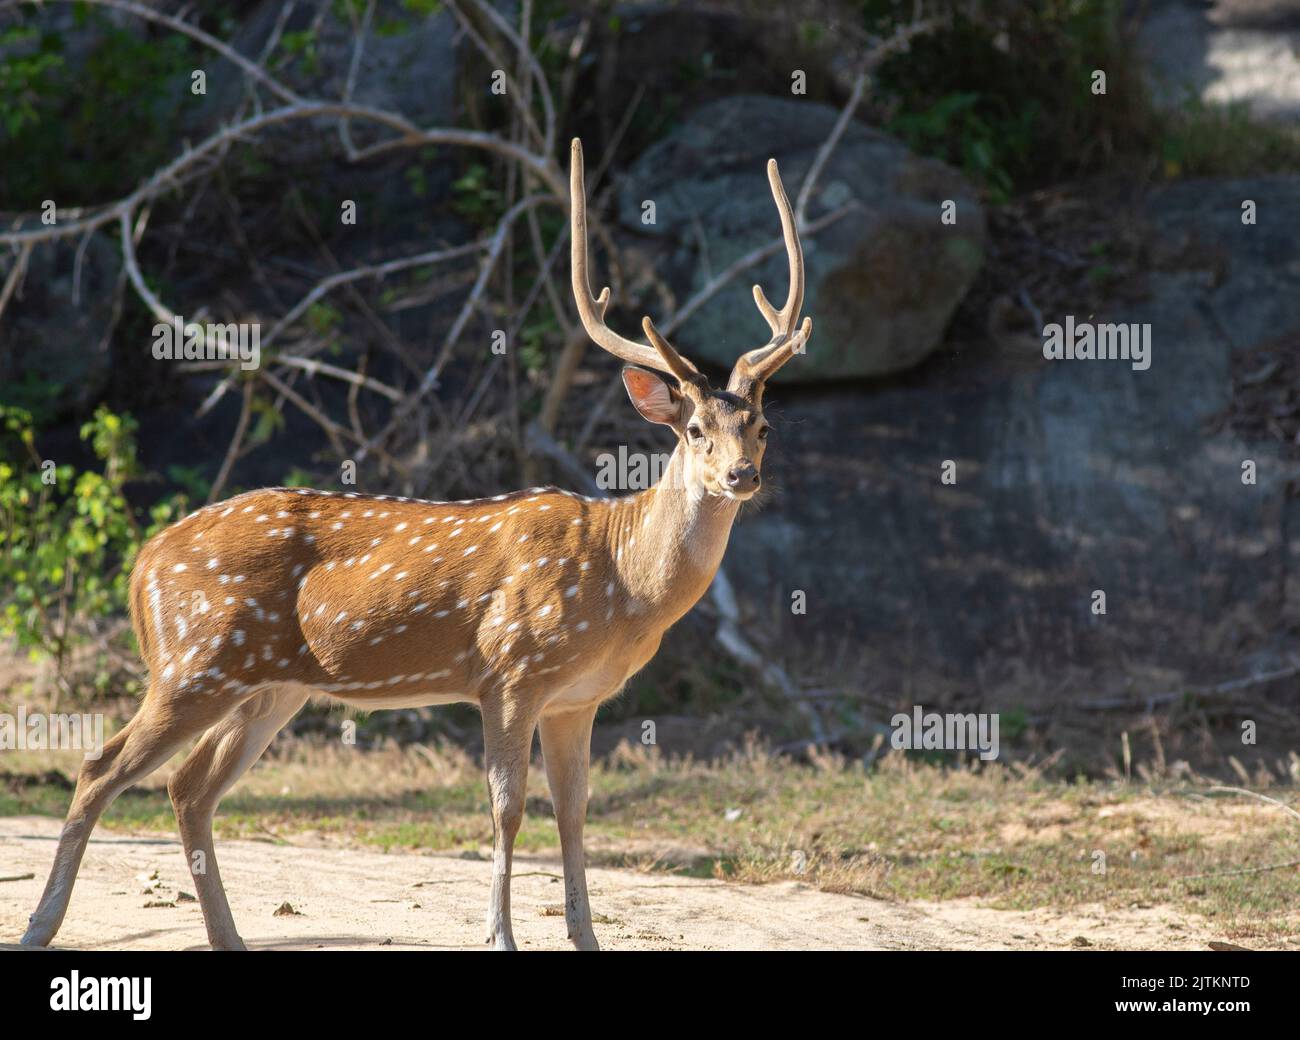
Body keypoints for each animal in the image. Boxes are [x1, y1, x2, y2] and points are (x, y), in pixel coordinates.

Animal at [21, 138, 811, 952]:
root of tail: (143, 563)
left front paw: (585, 939)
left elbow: (574, 813)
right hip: (192, 662)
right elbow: (507, 809)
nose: (743, 475)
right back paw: (41, 925)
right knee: (100, 765)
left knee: (187, 788)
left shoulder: (577, 698)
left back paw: (226, 937)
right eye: (696, 431)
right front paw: (500, 935)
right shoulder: (510, 670)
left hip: (267, 685)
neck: (623, 585)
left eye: (761, 426)